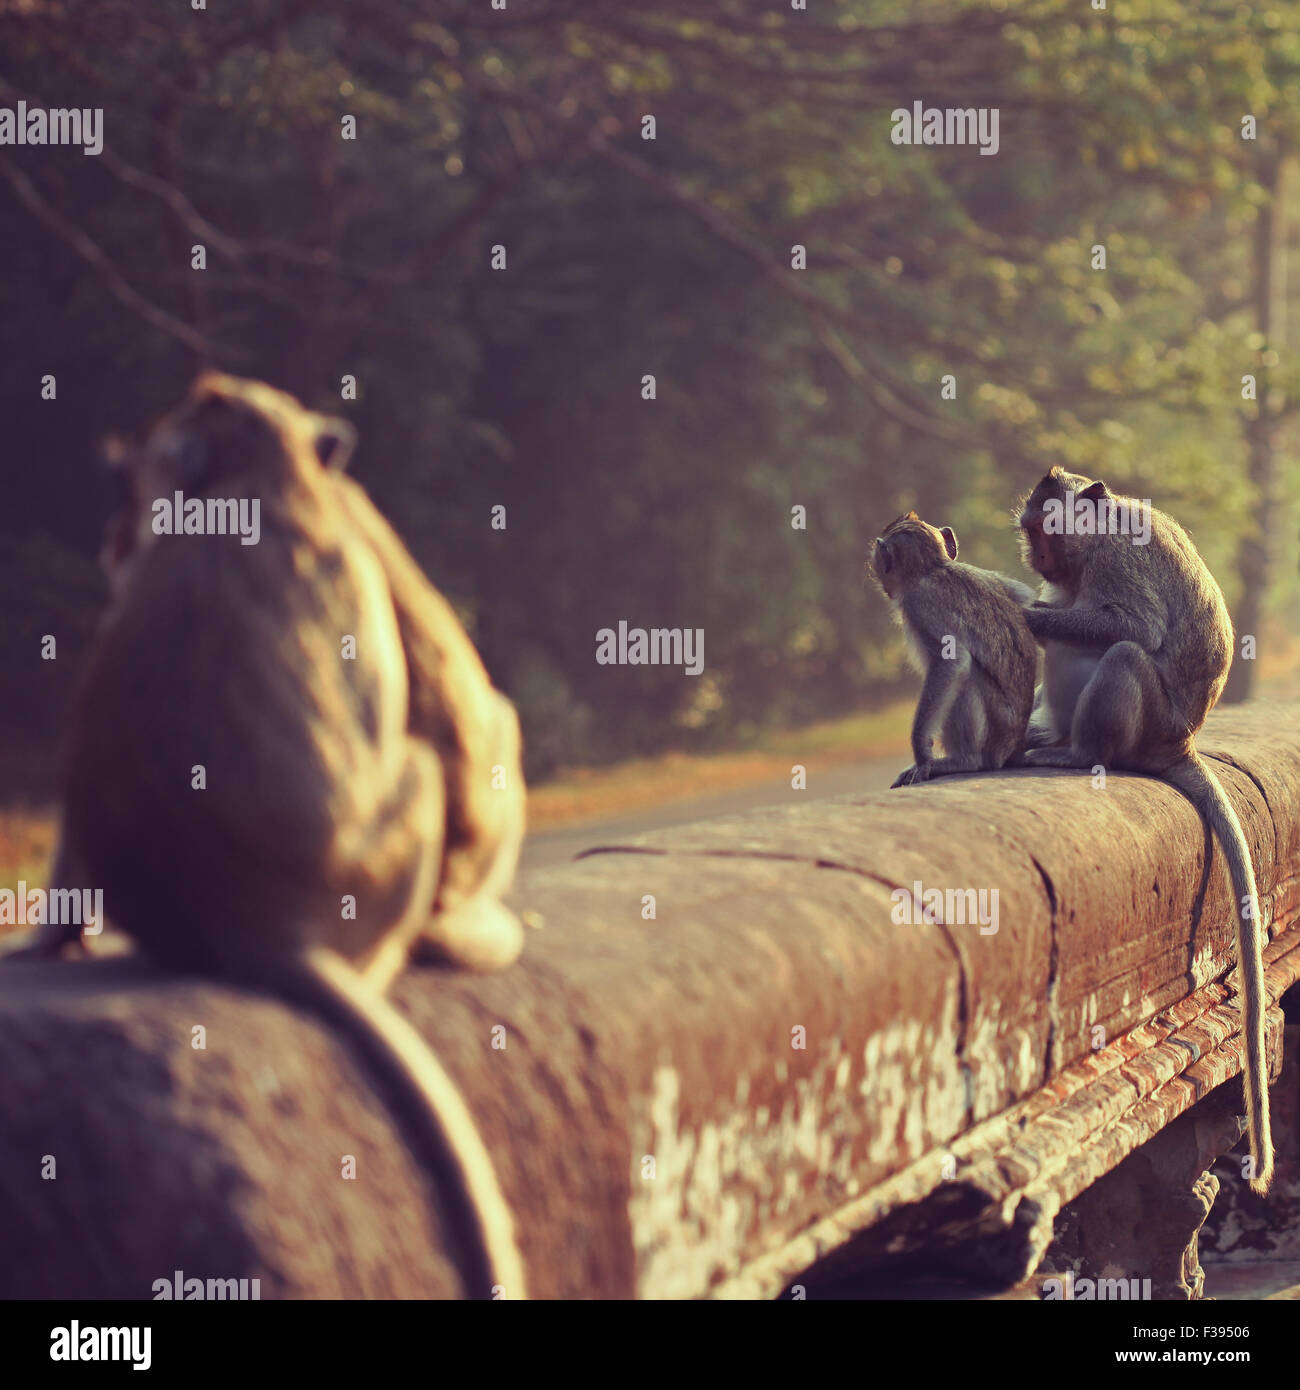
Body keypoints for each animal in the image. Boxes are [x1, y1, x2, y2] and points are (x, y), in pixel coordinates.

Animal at [3, 373, 528, 1295]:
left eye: (130, 485)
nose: (111, 535)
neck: (263, 481)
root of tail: (248, 925)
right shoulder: (349, 563)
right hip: (374, 880)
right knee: (424, 764)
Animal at [869, 512, 1037, 789]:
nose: (885, 586)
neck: (933, 567)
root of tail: (1014, 746)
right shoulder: (990, 577)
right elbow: (1024, 598)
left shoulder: (919, 604)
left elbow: (952, 661)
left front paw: (922, 755)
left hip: (996, 733)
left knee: (965, 679)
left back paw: (965, 761)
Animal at [1017, 465, 1273, 1194]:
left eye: (1047, 530)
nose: (1037, 561)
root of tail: (1177, 743)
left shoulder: (1114, 558)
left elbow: (1129, 623)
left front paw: (1025, 610)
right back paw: (1050, 739)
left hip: (1148, 718)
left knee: (1126, 653)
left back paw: (1077, 753)